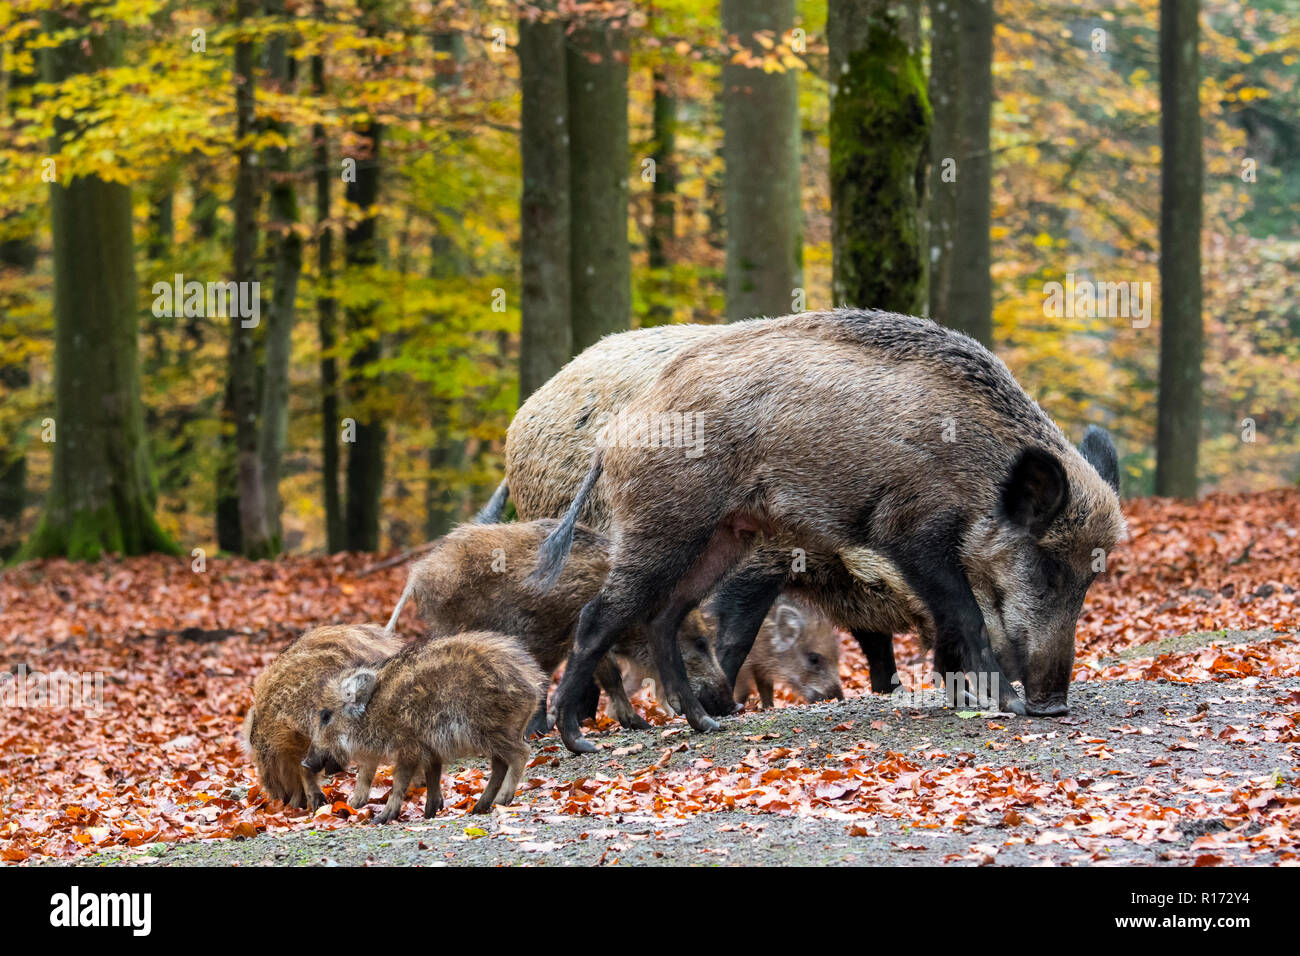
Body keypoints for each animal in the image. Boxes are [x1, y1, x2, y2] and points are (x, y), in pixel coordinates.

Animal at [302, 631, 543, 821]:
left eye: (325, 716)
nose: (305, 762)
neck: (376, 710)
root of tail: (533, 686)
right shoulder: (430, 749)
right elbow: (432, 776)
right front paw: (430, 813)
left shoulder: (408, 747)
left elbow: (399, 782)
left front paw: (381, 818)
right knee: (500, 765)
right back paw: (479, 808)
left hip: (490, 730)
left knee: (521, 752)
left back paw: (502, 800)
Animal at [385, 519, 734, 734]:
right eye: (700, 642)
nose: (733, 705)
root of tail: (418, 573)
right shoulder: (562, 632)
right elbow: (603, 674)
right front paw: (638, 723)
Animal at [531, 309, 1124, 753]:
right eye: (1047, 567)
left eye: (1090, 578)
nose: (1054, 705)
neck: (975, 473)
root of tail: (615, 435)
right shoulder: (910, 531)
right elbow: (968, 618)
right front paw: (1005, 705)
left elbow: (950, 623)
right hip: (664, 526)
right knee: (600, 616)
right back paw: (578, 741)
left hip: (724, 538)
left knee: (665, 618)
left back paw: (709, 725)